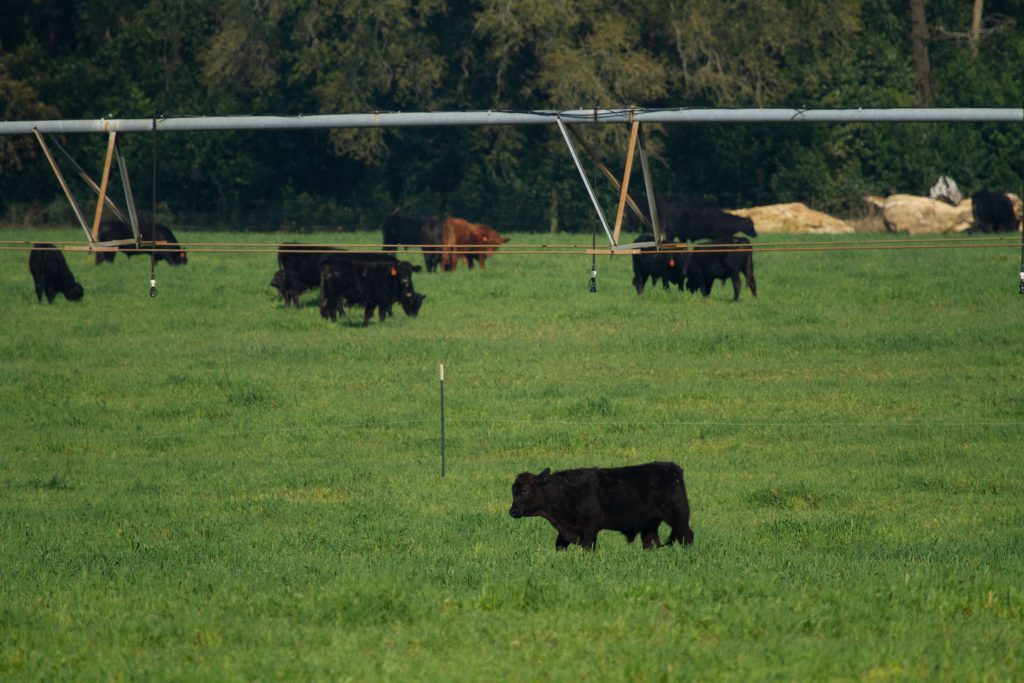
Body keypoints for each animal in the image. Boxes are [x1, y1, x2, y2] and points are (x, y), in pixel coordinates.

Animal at [509, 461, 695, 551]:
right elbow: (559, 546)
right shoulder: (565, 533)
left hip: (678, 517)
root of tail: (672, 467)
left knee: (687, 536)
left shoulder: (589, 531)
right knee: (651, 542)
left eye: (525, 490)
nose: (512, 511)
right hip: (650, 525)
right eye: (513, 490)